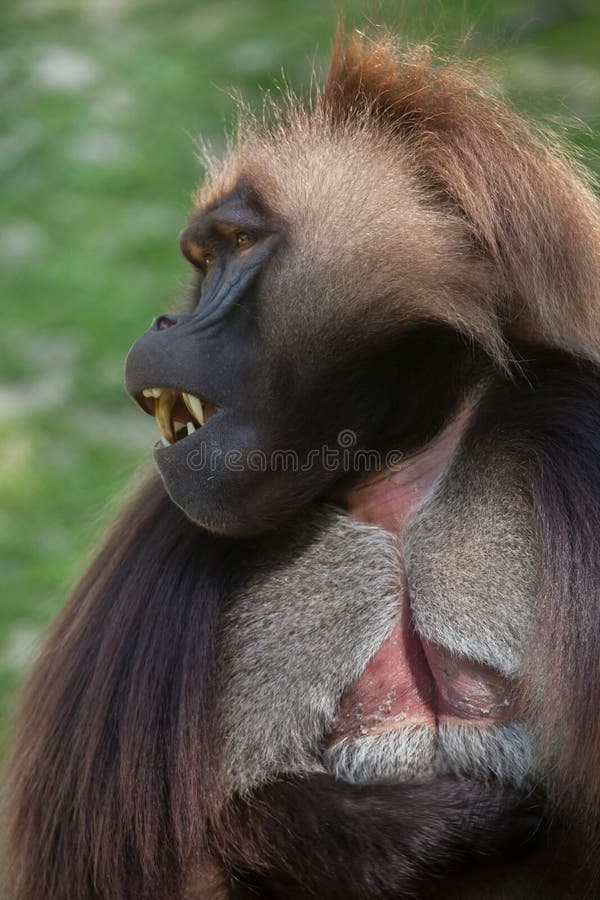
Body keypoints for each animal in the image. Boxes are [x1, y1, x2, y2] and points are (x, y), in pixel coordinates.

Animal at [3, 29, 600, 900]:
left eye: (239, 245)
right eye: (201, 257)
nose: (164, 322)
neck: (393, 480)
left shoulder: (571, 434)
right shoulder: (160, 544)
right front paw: (420, 830)